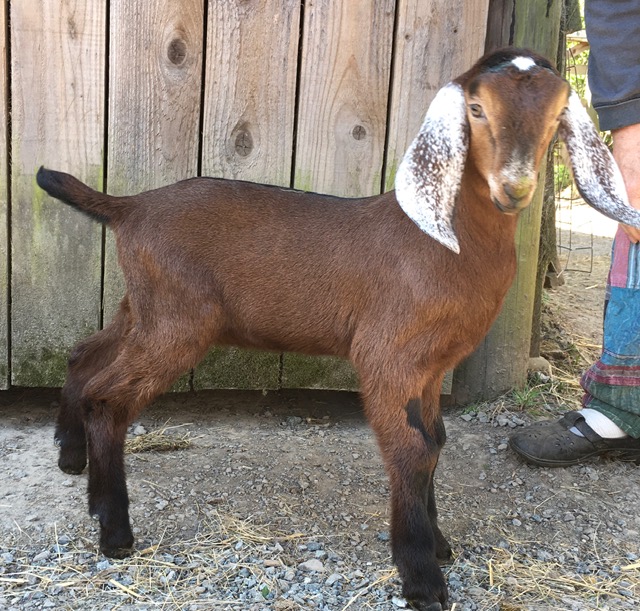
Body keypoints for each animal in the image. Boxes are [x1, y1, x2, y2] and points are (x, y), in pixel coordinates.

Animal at [36, 48, 640, 611]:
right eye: (476, 109)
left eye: (559, 114)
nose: (515, 188)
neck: (444, 242)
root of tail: (130, 207)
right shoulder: (389, 355)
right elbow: (413, 451)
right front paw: (422, 576)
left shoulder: (431, 365)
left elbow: (436, 442)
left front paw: (439, 543)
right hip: (176, 320)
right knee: (109, 399)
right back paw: (114, 530)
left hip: (145, 307)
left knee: (84, 356)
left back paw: (72, 458)